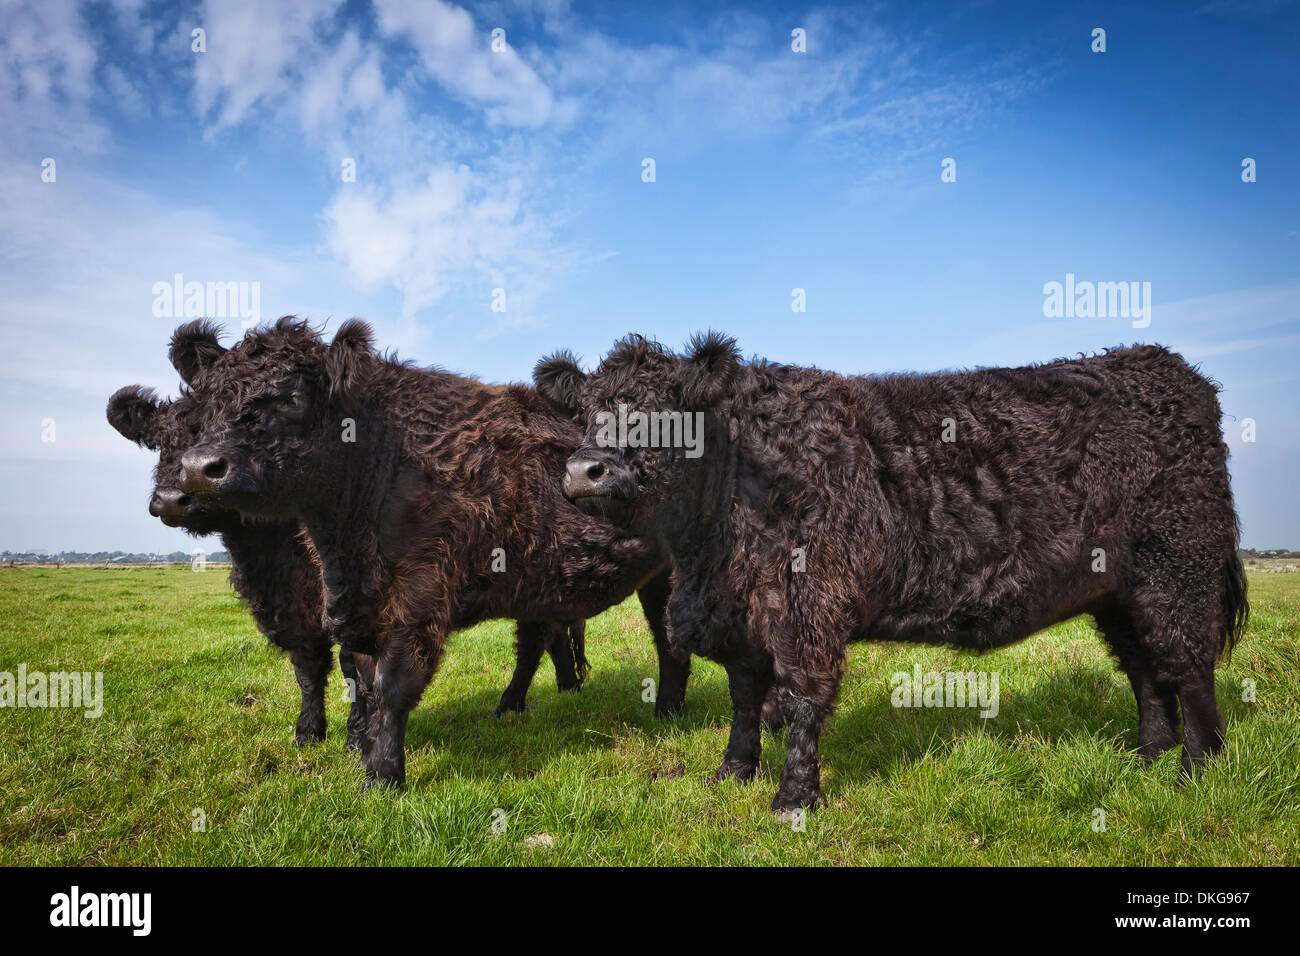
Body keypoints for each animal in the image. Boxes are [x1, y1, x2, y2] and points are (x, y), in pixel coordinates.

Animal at [167, 317, 691, 790]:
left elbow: (393, 686)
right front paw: (365, 755)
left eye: (291, 397)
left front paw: (382, 778)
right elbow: (363, 682)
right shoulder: (360, 607)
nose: (199, 467)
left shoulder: (419, 597)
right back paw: (512, 708)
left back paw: (668, 713)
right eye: (210, 400)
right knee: (540, 644)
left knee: (666, 640)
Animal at [543, 333, 1249, 813]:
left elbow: (799, 701)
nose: (584, 470)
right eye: (588, 413)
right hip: (1117, 591)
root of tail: (1166, 366)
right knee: (1145, 671)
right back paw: (1149, 759)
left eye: (666, 413)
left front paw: (793, 801)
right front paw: (732, 775)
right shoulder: (738, 615)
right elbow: (745, 699)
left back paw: (1197, 773)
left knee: (1187, 668)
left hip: (1176, 566)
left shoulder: (809, 604)